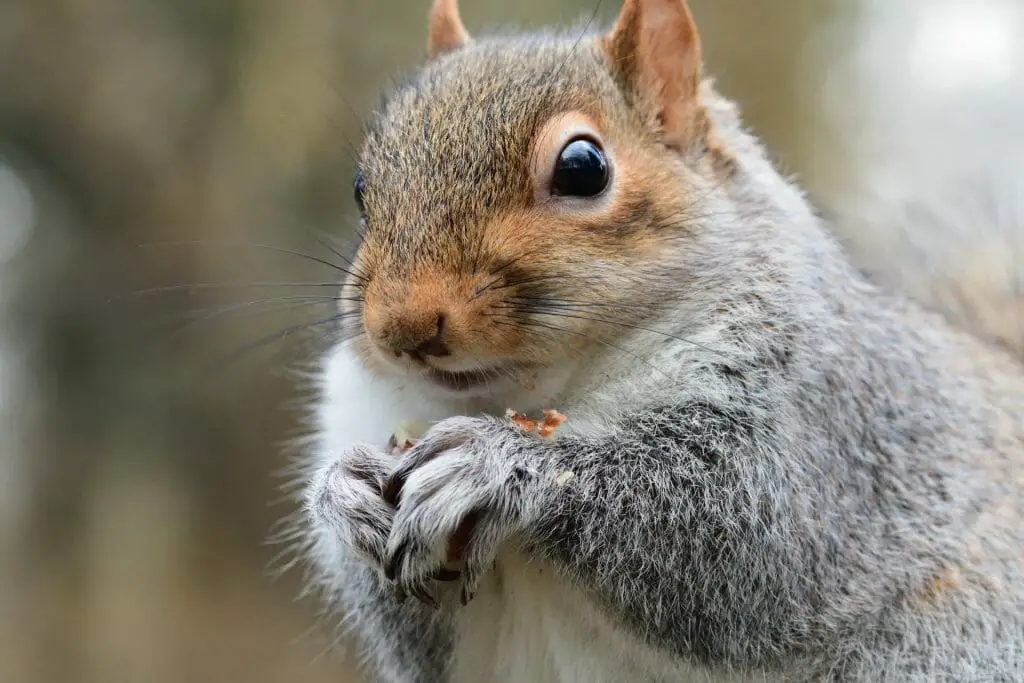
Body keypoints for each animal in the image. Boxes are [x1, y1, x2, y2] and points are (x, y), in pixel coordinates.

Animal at [299, 0, 1024, 681]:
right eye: (362, 189)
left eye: (583, 167)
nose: (403, 327)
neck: (546, 392)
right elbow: (425, 643)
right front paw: (344, 494)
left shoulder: (826, 424)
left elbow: (750, 535)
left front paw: (499, 465)